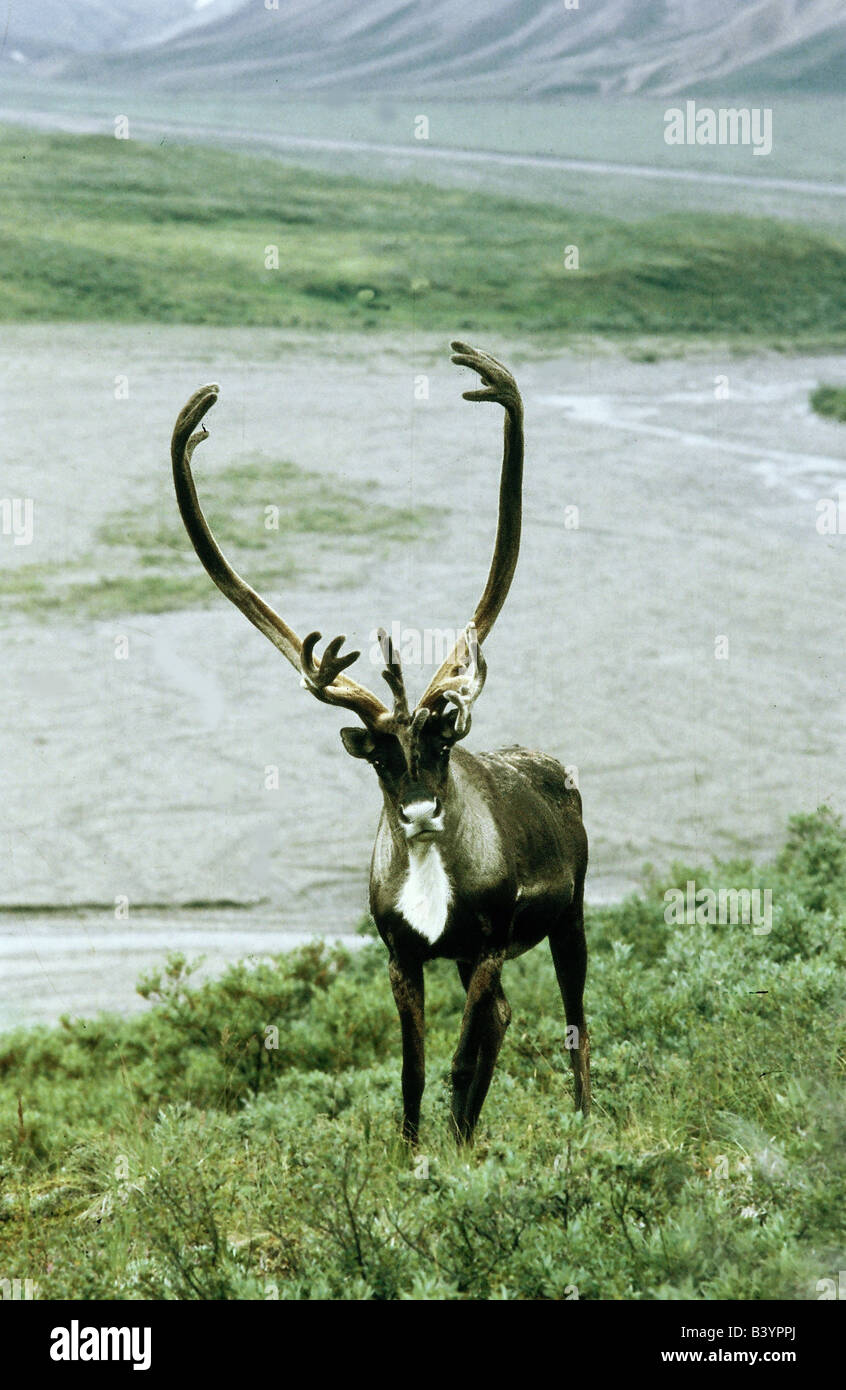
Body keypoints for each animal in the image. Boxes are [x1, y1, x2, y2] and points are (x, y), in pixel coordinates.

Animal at [171, 342, 589, 1145]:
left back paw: (588, 1123)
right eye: (381, 760)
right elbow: (413, 1072)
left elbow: (458, 1058)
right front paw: (418, 1152)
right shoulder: (403, 954)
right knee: (503, 1018)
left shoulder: (488, 941)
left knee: (575, 1021)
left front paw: (453, 1153)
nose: (421, 813)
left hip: (570, 913)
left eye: (442, 747)